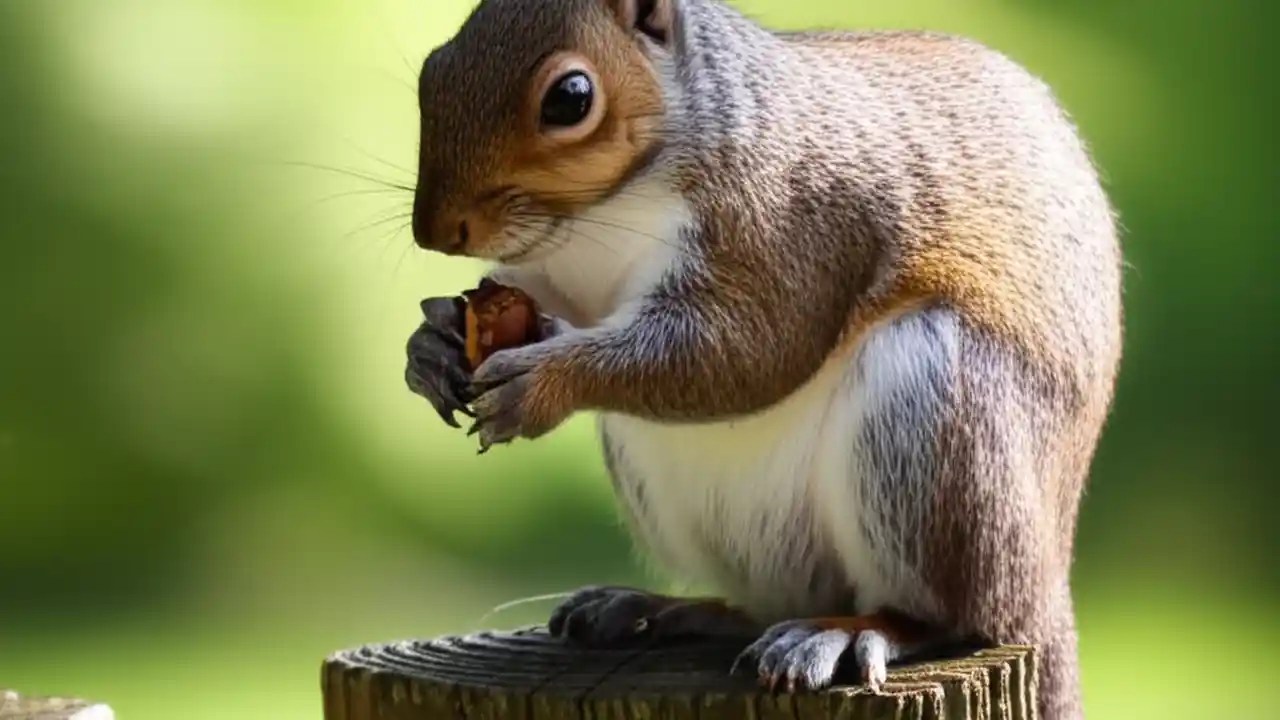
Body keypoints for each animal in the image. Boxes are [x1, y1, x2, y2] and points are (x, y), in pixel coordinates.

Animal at [402, 1, 1122, 719]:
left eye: (570, 98)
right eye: (432, 68)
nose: (435, 233)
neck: (605, 212)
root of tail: (1047, 583)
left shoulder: (793, 218)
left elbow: (747, 350)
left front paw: (543, 381)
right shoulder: (574, 275)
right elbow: (563, 309)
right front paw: (431, 344)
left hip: (935, 428)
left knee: (953, 615)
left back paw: (852, 633)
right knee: (763, 605)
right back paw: (659, 608)